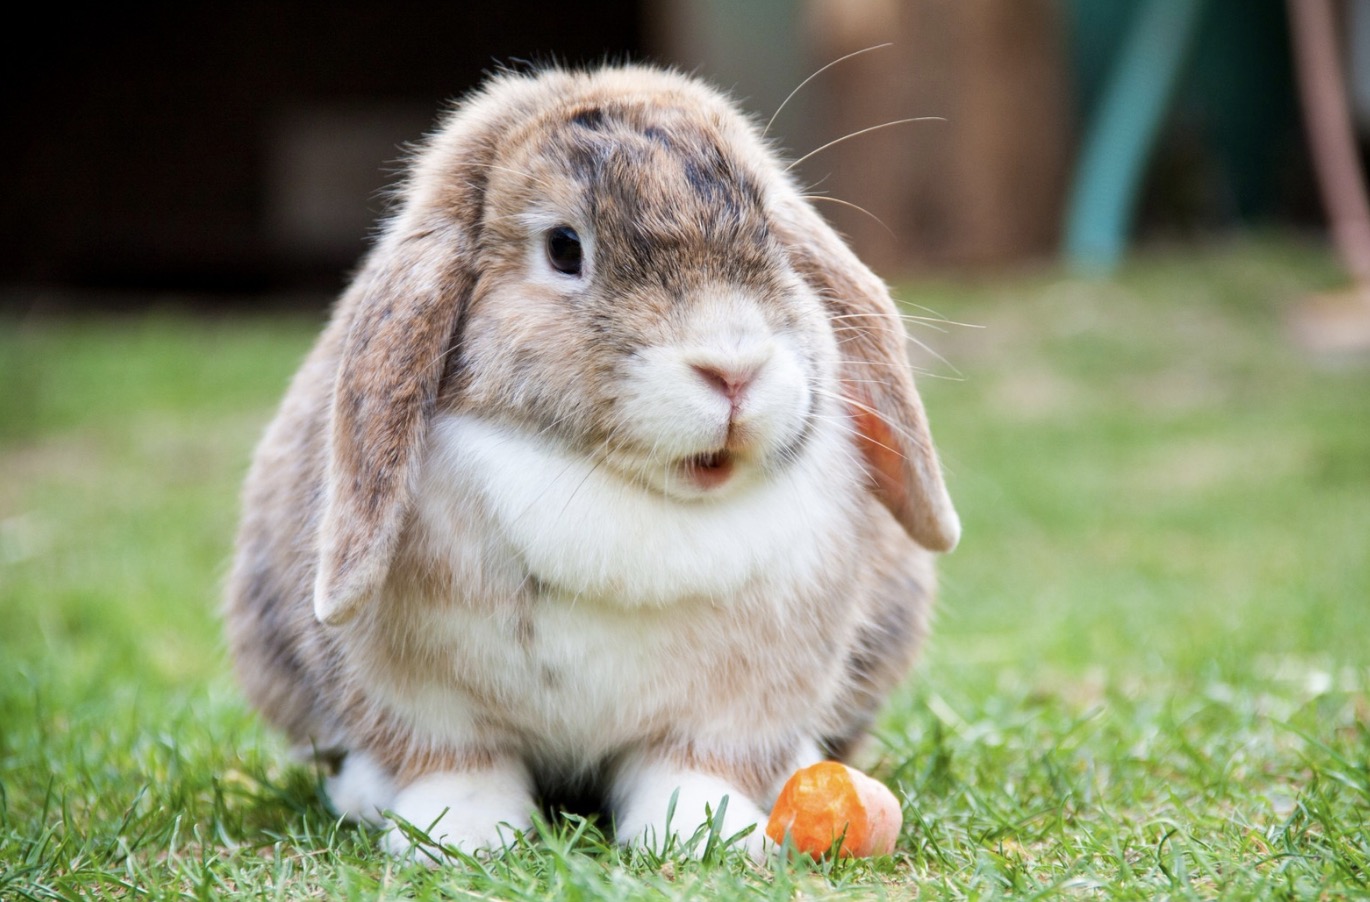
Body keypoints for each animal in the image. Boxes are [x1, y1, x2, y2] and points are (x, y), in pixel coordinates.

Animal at [224, 63, 959, 863]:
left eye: (769, 230)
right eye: (564, 249)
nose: (734, 369)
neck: (622, 490)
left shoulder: (735, 706)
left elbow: (693, 767)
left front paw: (704, 836)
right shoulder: (422, 701)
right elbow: (457, 764)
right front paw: (460, 837)